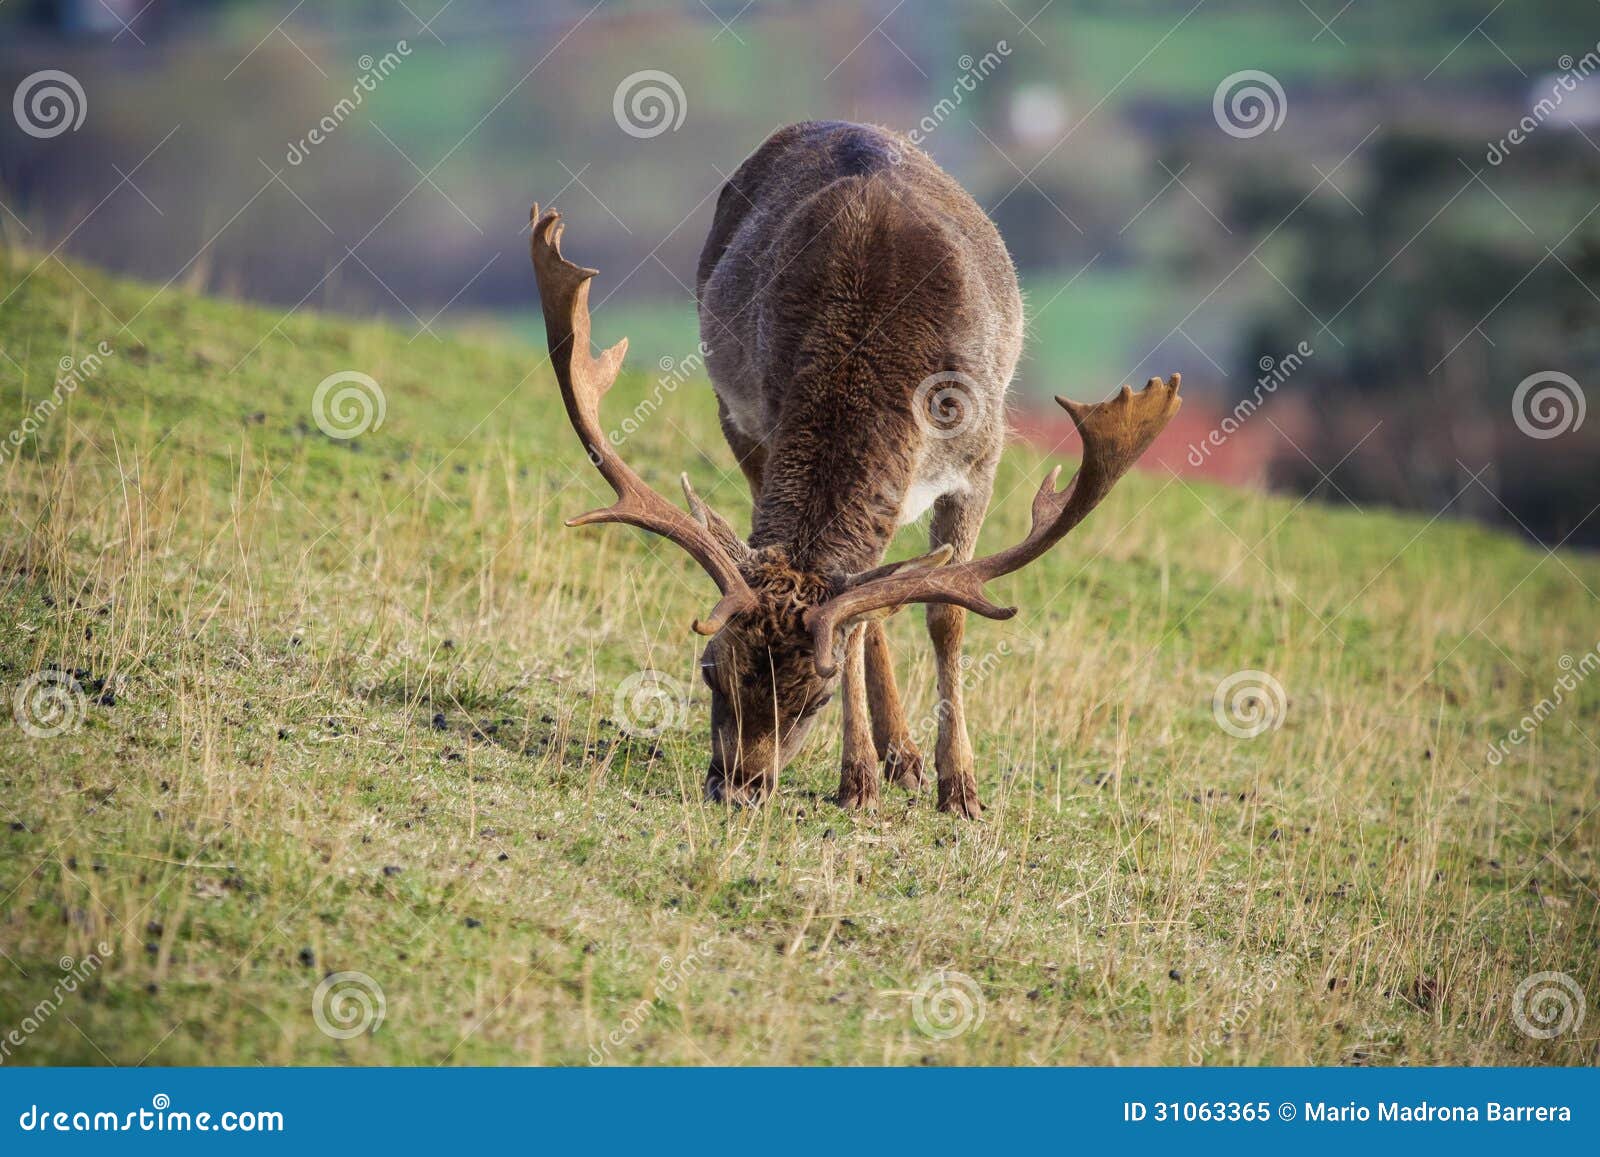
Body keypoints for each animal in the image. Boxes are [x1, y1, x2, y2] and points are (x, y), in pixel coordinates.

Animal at [529, 120, 1179, 819]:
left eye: (816, 695)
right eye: (710, 668)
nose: (738, 787)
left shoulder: (981, 458)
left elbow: (943, 616)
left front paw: (960, 789)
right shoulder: (760, 419)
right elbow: (866, 611)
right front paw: (859, 781)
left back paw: (909, 761)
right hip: (741, 422)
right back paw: (894, 759)